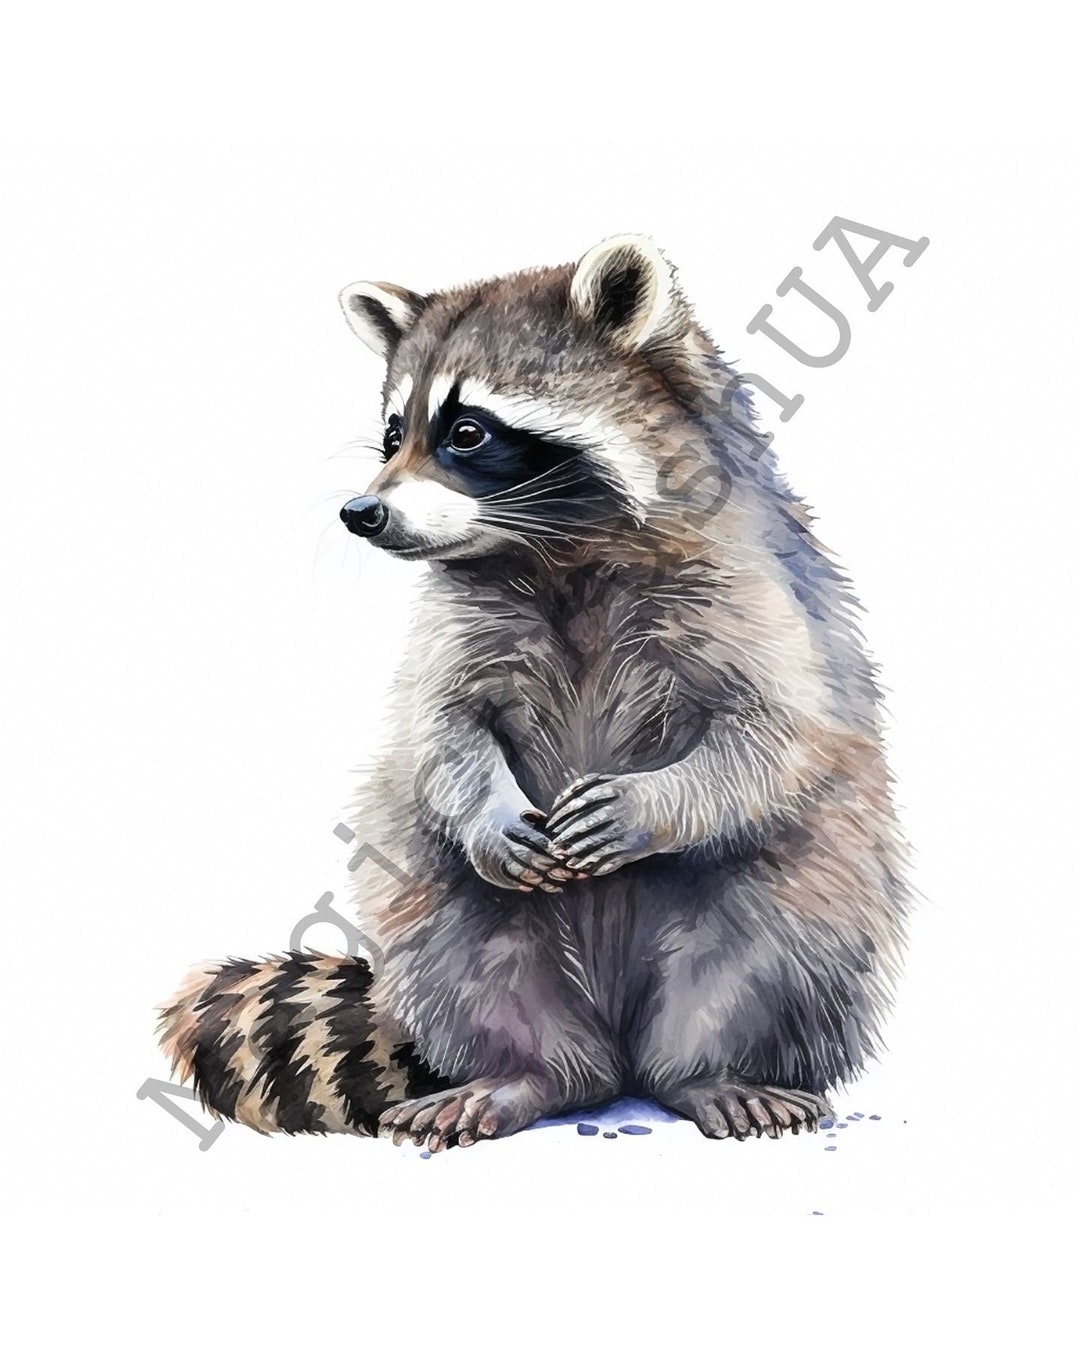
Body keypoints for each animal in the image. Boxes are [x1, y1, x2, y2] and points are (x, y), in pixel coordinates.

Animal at [160, 235, 910, 1147]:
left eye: (467, 431)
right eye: (391, 435)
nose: (361, 512)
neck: (555, 549)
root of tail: (620, 1044)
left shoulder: (752, 585)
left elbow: (781, 731)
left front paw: (650, 802)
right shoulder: (458, 624)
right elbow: (439, 726)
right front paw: (486, 808)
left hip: (817, 874)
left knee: (766, 948)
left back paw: (707, 1070)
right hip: (435, 890)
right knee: (466, 953)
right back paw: (533, 1072)